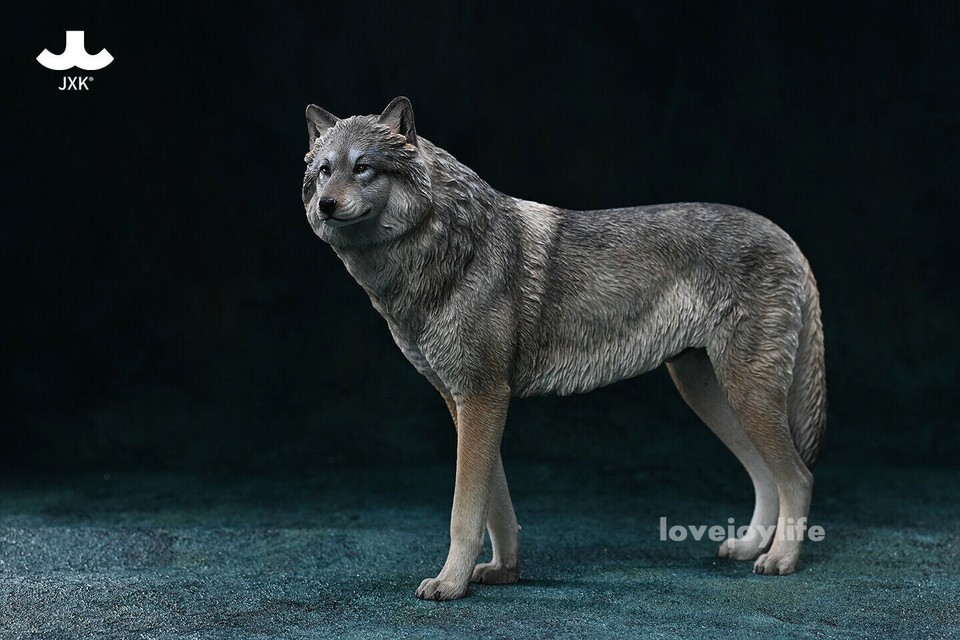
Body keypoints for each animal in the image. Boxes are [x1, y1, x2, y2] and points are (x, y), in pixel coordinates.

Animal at [301, 97, 826, 601]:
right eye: (324, 170)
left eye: (363, 167)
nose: (325, 205)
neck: (445, 250)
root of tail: (787, 238)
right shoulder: (463, 402)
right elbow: (496, 507)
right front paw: (502, 572)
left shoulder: (483, 397)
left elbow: (464, 513)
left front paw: (450, 585)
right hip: (712, 396)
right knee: (767, 476)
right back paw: (749, 546)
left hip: (743, 395)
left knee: (798, 477)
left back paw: (780, 559)